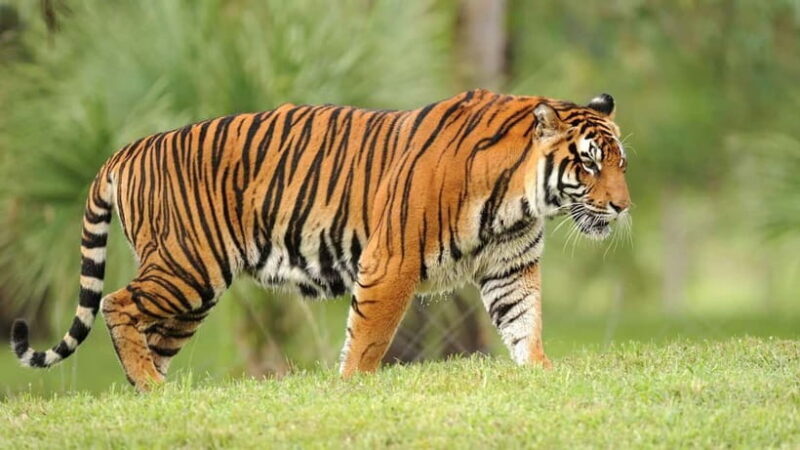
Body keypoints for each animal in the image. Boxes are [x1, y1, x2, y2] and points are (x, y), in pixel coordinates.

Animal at [10, 89, 630, 391]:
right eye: (589, 164)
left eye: (620, 163)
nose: (623, 207)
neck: (520, 197)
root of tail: (130, 147)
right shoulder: (390, 261)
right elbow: (369, 338)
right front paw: (352, 386)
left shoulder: (510, 268)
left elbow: (525, 324)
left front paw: (540, 373)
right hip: (187, 267)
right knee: (117, 303)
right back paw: (150, 387)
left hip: (191, 293)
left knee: (147, 333)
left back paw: (152, 393)